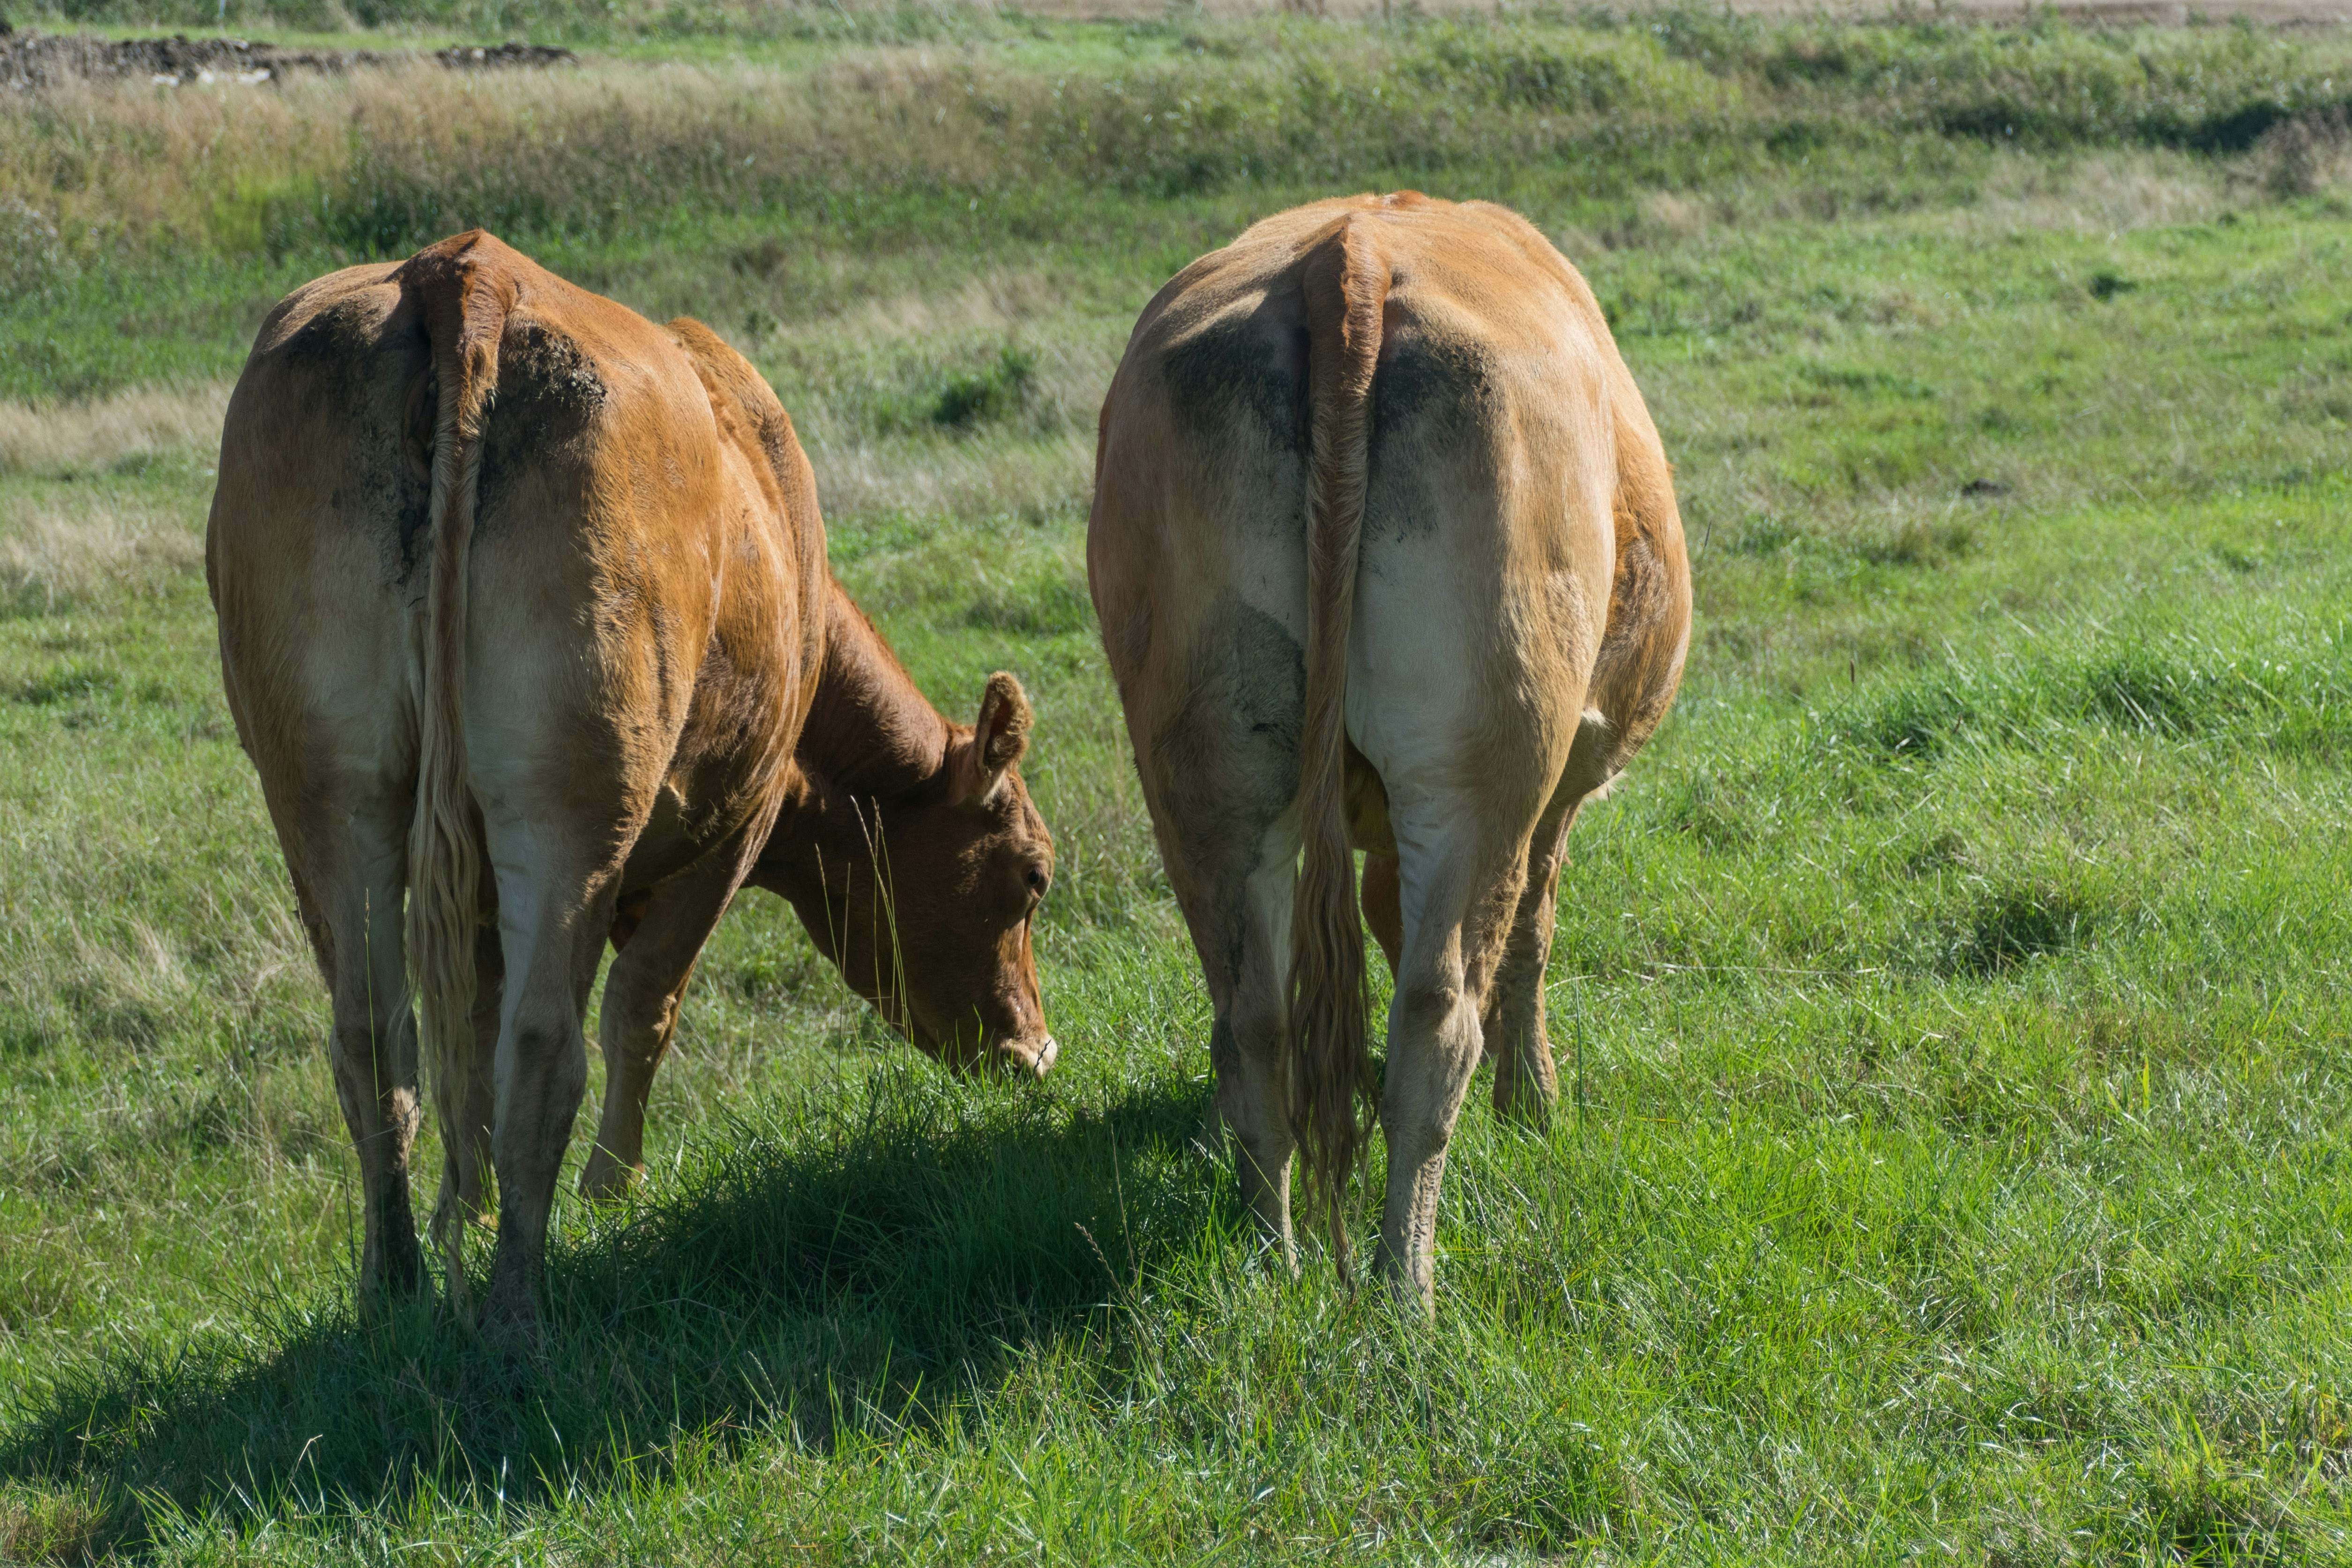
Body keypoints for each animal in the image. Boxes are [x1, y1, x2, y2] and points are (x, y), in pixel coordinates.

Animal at [207, 230, 1057, 1342]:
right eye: (1033, 874)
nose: (1036, 1054)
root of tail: (464, 271)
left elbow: (467, 1038)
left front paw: (469, 1210)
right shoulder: (734, 826)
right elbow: (644, 1005)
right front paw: (614, 1193)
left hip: (328, 799)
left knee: (376, 1040)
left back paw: (395, 1284)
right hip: (571, 803)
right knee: (545, 1046)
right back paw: (517, 1317)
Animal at [1087, 194, 1690, 1312]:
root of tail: (1349, 254)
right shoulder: (1558, 790)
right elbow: (1533, 929)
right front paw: (1533, 1103)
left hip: (1204, 769)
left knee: (1252, 1023)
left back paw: (1272, 1267)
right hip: (1480, 771)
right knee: (1437, 1009)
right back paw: (1402, 1286)